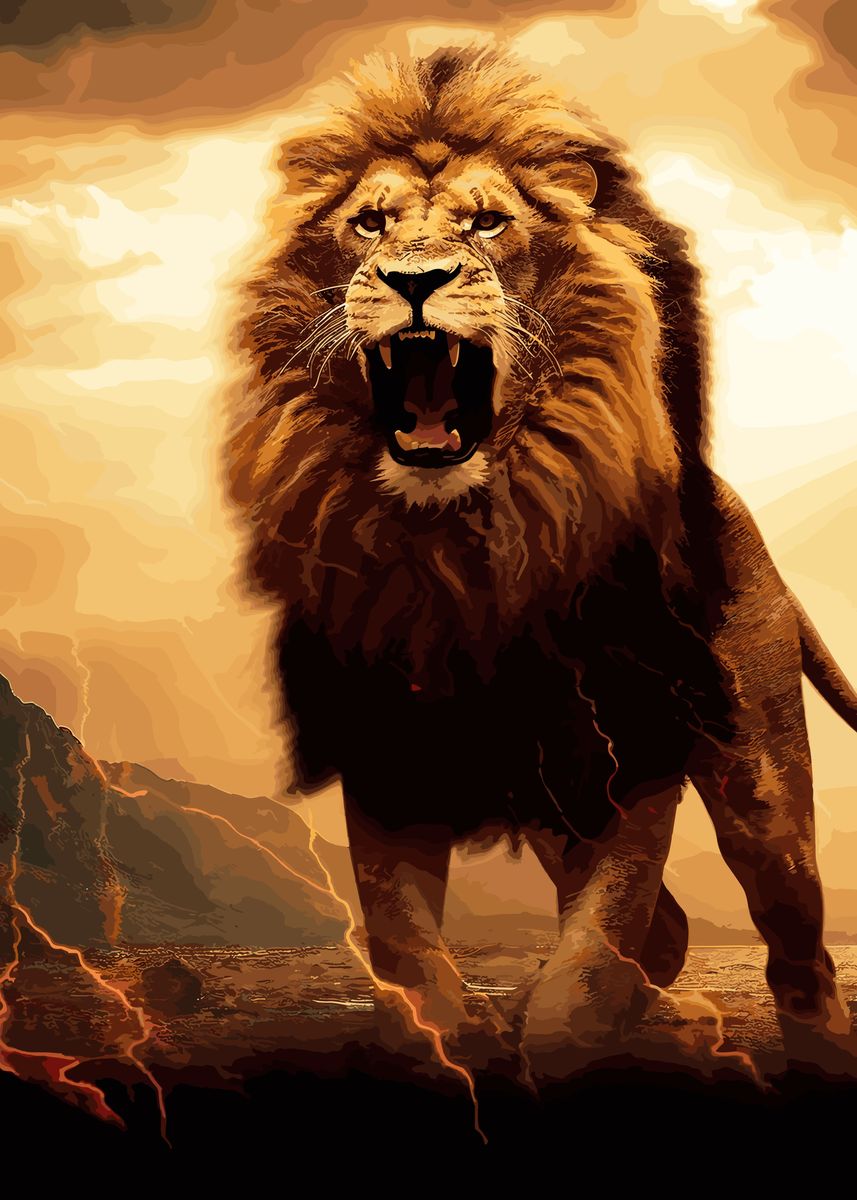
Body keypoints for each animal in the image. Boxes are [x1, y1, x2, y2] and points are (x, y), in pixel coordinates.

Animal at [226, 46, 857, 1079]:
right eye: (370, 223)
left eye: (487, 221)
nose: (412, 280)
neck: (461, 547)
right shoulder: (386, 746)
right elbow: (405, 945)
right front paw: (455, 1035)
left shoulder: (634, 737)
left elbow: (590, 967)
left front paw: (560, 1037)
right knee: (671, 930)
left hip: (758, 793)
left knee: (793, 939)